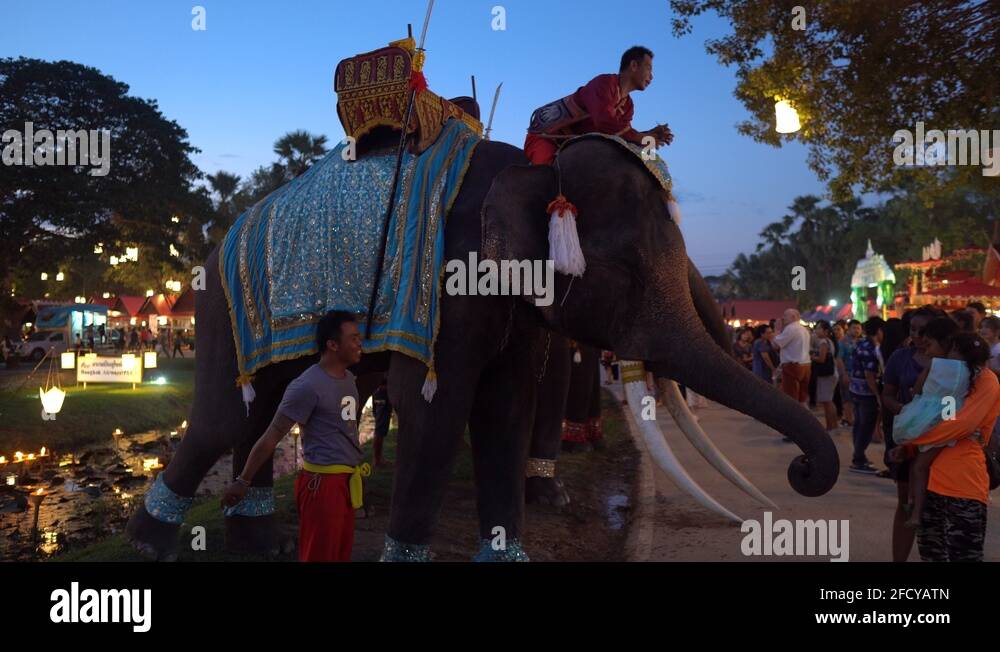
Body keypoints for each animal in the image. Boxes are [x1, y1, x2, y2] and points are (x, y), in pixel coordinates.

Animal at [125, 133, 839, 561]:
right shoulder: (447, 282)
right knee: (224, 418)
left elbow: (506, 406)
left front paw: (504, 552)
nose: (802, 473)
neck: (533, 166)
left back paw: (258, 545)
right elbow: (434, 410)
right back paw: (150, 546)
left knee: (264, 408)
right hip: (219, 306)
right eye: (627, 267)